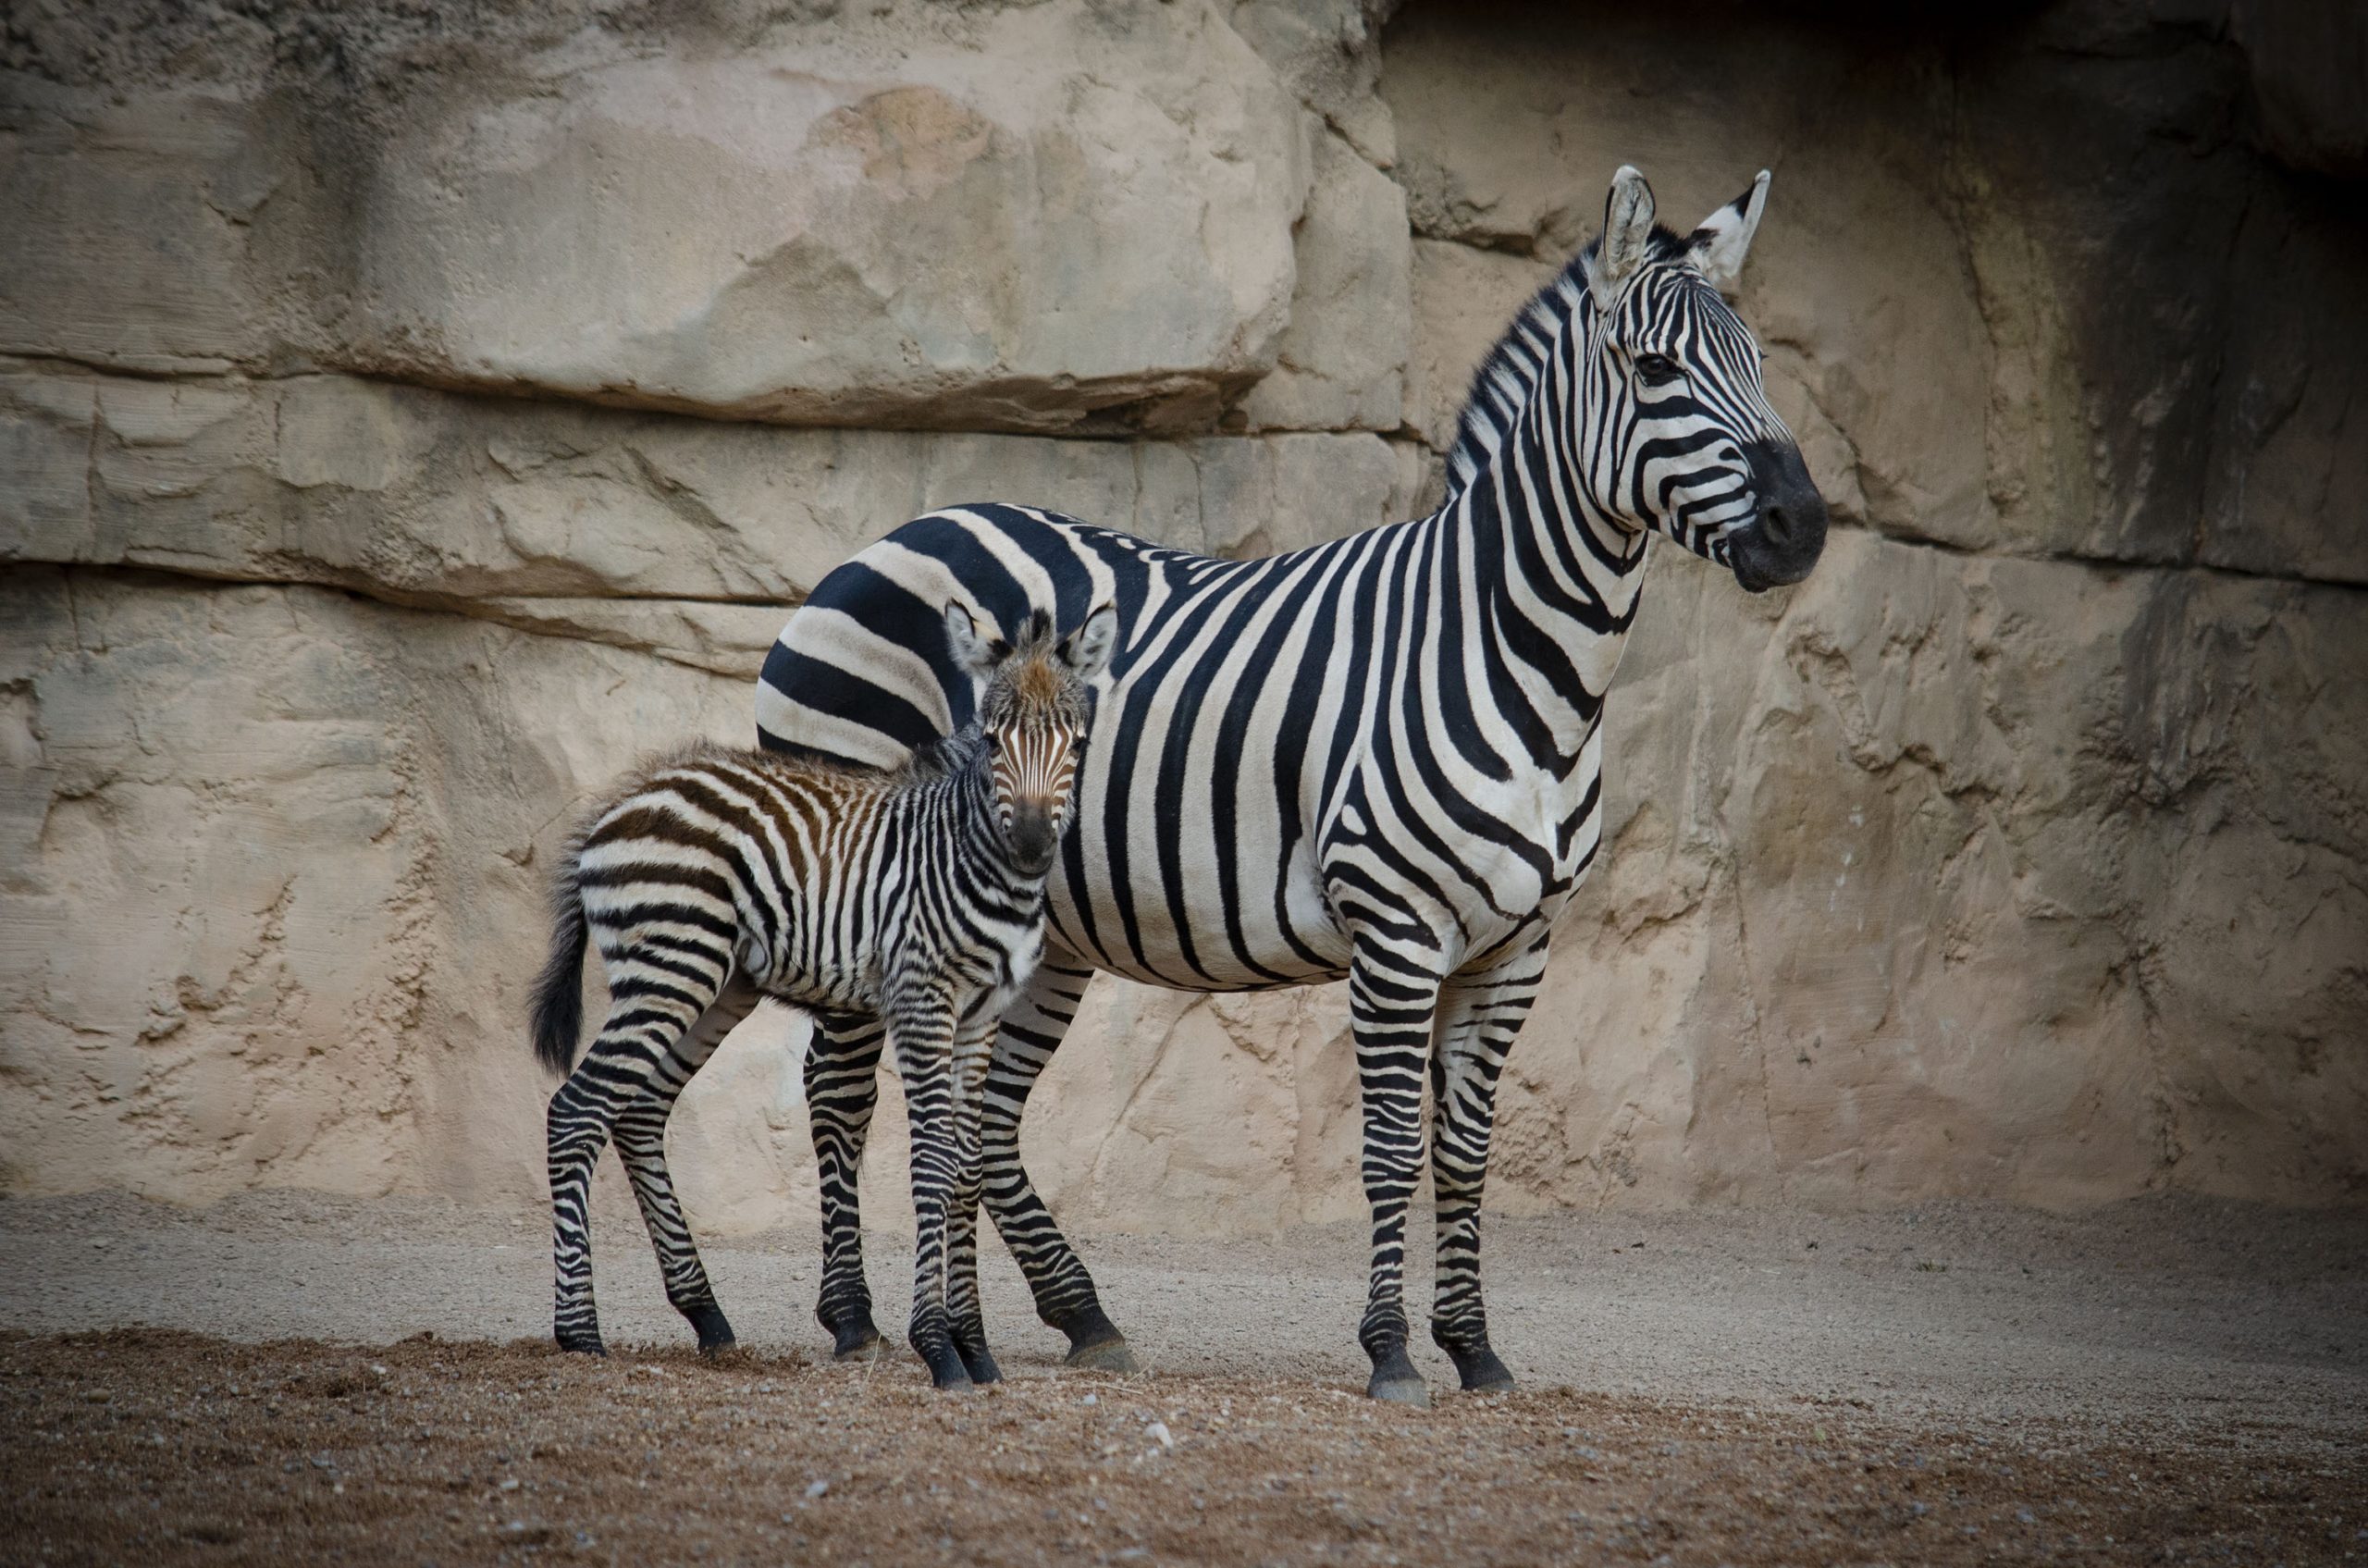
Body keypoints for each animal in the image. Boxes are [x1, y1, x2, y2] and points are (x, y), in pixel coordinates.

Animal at [529, 602, 1118, 1389]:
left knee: (638, 1108)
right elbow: (933, 1161)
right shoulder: (922, 996)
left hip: (714, 982)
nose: (1029, 843)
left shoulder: (980, 1014)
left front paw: (976, 1346)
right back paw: (580, 1332)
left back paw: (706, 1315)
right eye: (994, 739)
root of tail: (618, 803)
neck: (968, 855)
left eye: (1076, 741)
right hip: (671, 968)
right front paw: (939, 1346)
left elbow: (965, 1169)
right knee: (578, 1110)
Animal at [750, 165, 1830, 1405]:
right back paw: (855, 1321)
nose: (1803, 527)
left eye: (1759, 363)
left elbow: (1465, 1156)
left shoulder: (1518, 948)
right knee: (840, 1090)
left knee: (980, 1116)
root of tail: (902, 530)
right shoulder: (1397, 931)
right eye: (1655, 370)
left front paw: (1475, 1349)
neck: (1513, 656)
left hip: (1040, 924)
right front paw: (1393, 1351)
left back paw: (1041, 1321)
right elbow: (1392, 1151)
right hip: (861, 858)